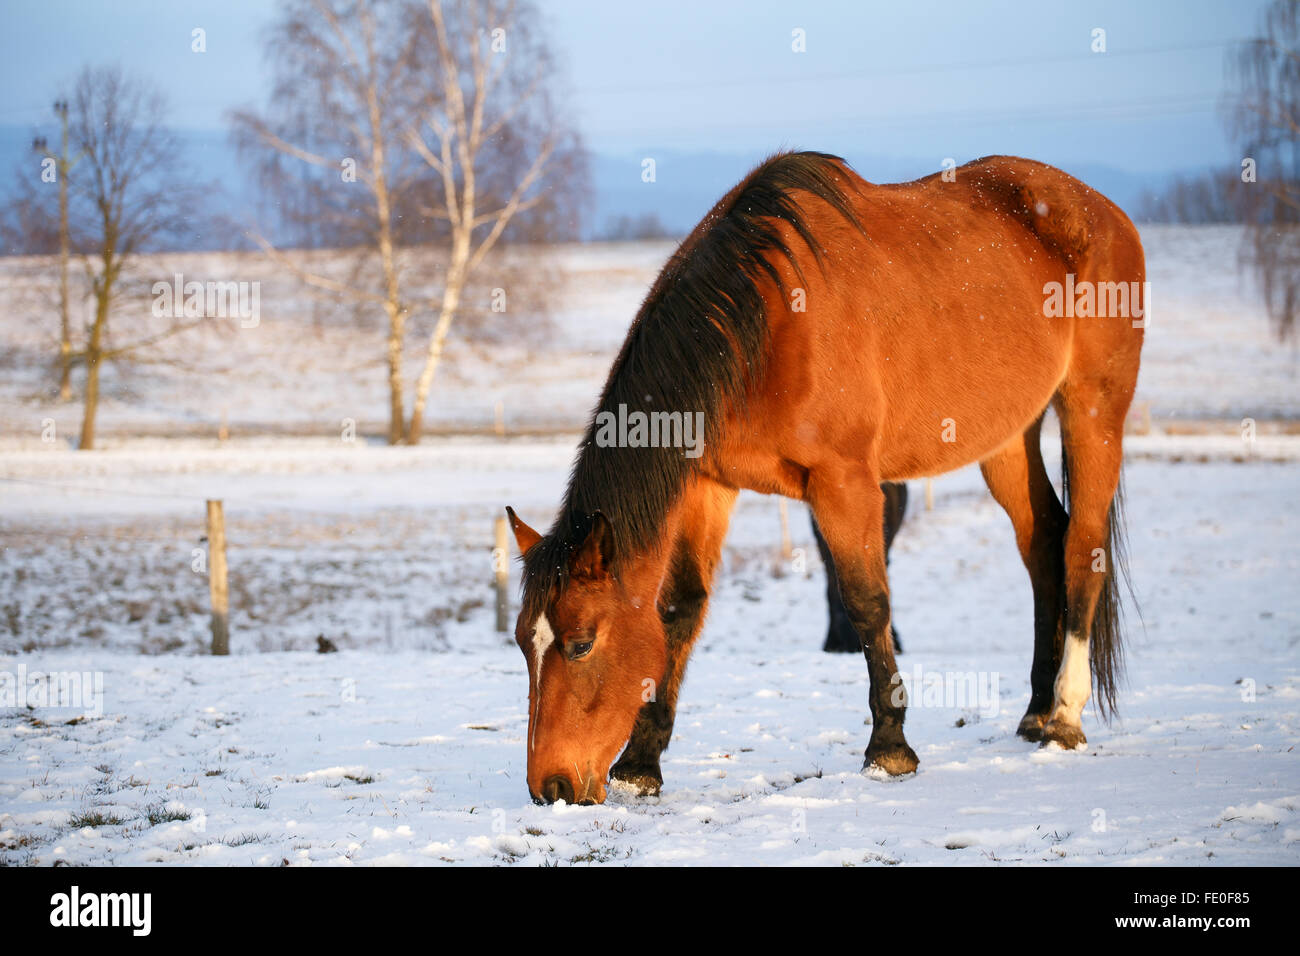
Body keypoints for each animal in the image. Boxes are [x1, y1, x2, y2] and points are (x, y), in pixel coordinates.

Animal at [507, 151, 1144, 805]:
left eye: (581, 643)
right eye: (523, 642)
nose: (550, 786)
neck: (763, 323)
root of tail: (1102, 211)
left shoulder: (845, 483)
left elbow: (866, 602)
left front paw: (890, 748)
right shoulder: (708, 485)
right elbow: (680, 610)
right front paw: (641, 763)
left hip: (1093, 410)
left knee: (1082, 546)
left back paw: (1064, 716)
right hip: (1008, 438)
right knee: (1043, 543)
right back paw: (1035, 710)